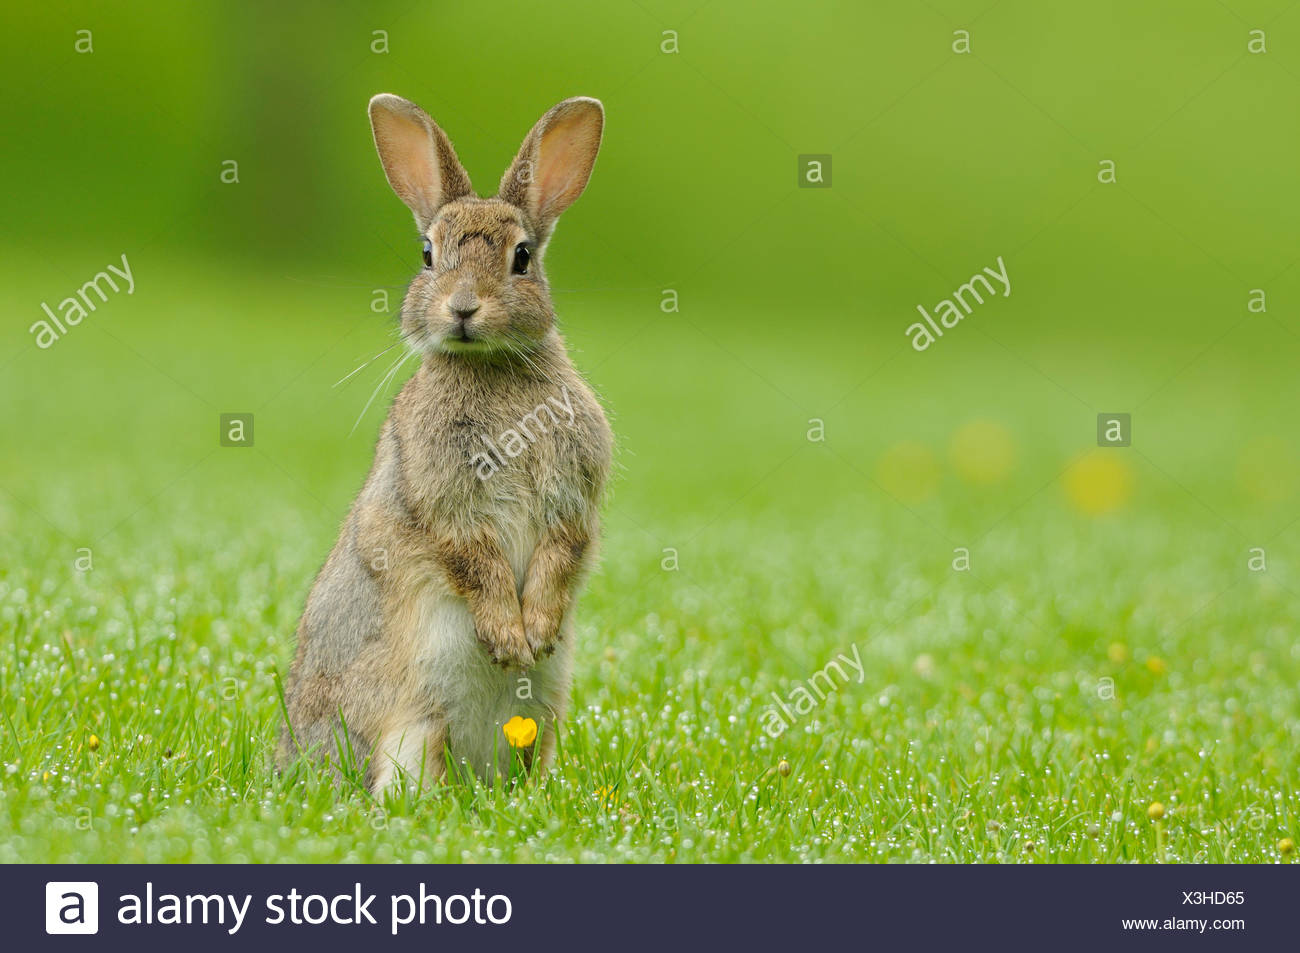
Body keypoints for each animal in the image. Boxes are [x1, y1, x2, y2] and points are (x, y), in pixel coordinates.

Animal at [277, 92, 613, 793]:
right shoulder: (443, 504)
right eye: (428, 254)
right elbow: (474, 560)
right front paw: (510, 638)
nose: (462, 309)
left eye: (522, 257)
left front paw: (536, 632)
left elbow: (561, 552)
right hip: (413, 725)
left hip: (541, 721)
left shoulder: (573, 501)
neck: (490, 366)